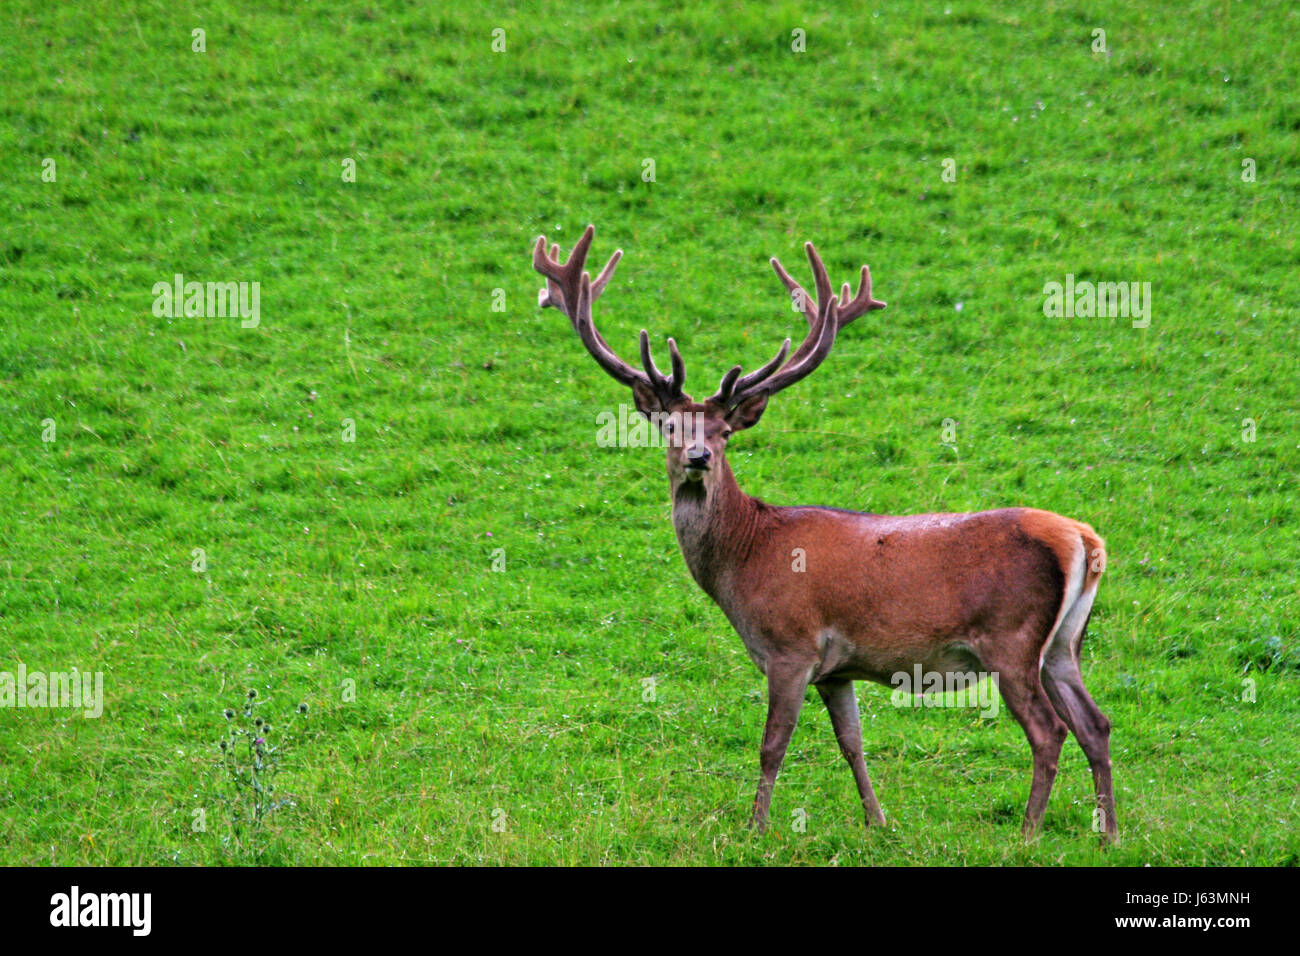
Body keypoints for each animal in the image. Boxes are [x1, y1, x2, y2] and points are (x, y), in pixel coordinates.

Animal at [532, 225, 1117, 844]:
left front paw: (756, 826)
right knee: (1096, 723)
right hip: (1063, 643)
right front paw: (877, 821)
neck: (744, 558)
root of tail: (1085, 541)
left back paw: (1028, 831)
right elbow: (851, 742)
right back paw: (1108, 832)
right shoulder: (837, 670)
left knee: (1049, 730)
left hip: (1011, 639)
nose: (697, 458)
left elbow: (772, 744)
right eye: (670, 425)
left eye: (722, 432)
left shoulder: (790, 647)